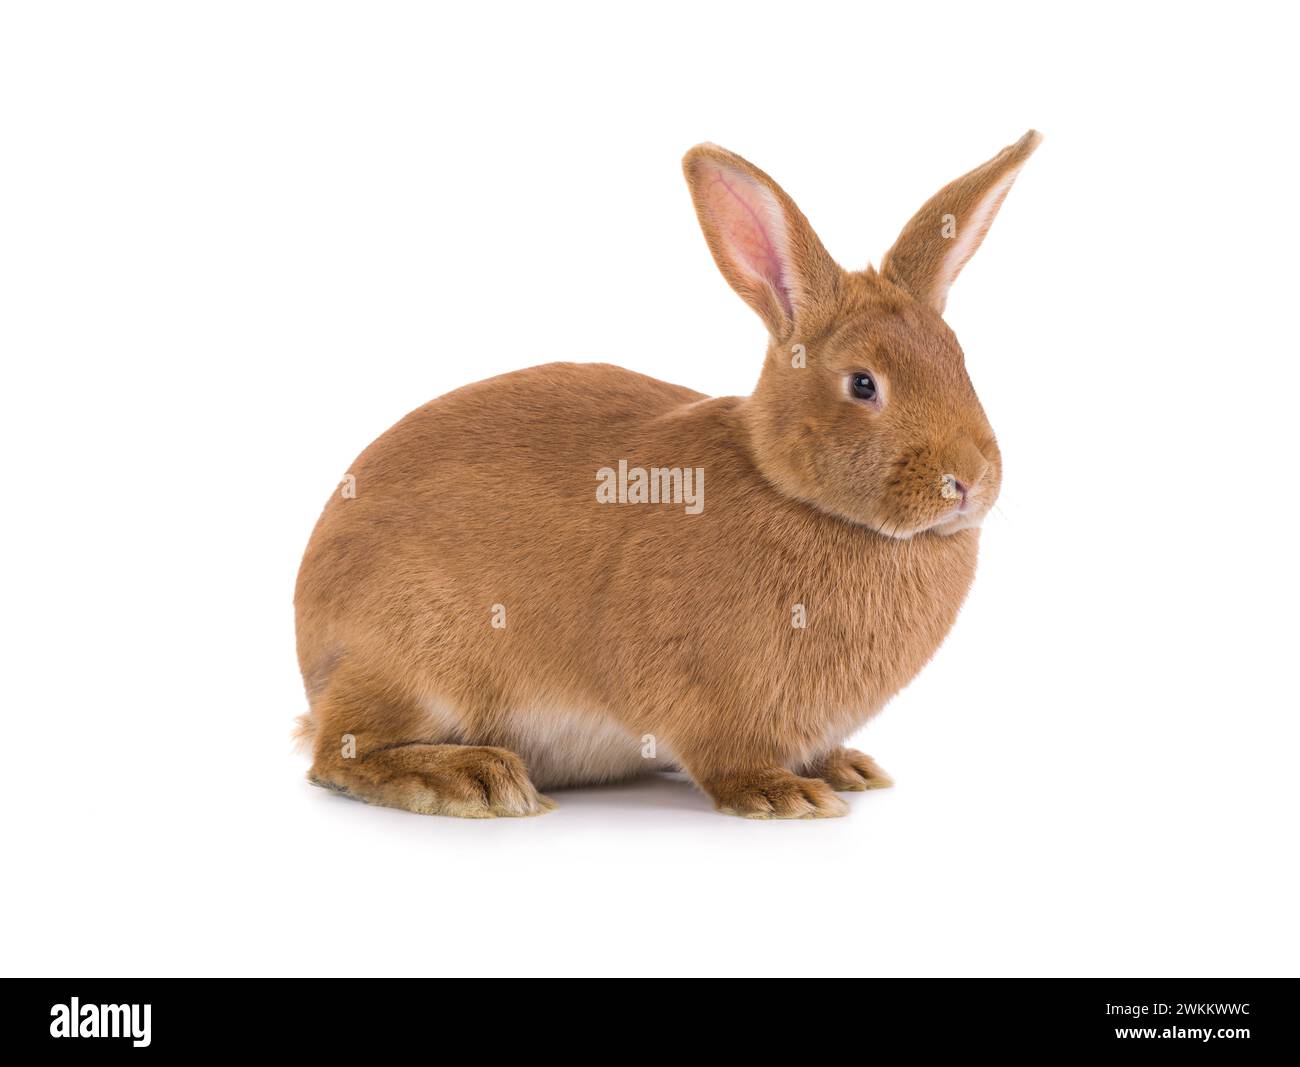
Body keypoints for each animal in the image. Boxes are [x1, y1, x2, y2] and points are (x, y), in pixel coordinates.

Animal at [294, 130, 1042, 818]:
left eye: (960, 360)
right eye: (863, 384)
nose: (968, 480)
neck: (791, 491)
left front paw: (844, 767)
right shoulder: (708, 699)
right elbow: (727, 757)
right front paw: (784, 795)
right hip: (415, 662)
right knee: (338, 756)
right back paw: (474, 779)